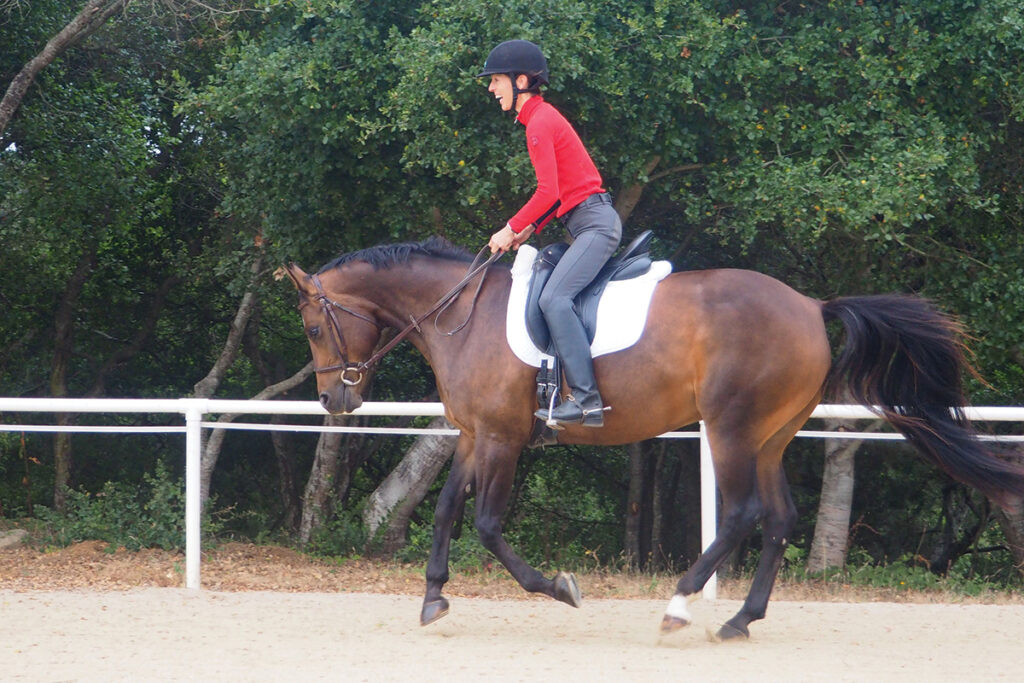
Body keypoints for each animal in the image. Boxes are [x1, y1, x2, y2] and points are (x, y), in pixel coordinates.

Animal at [284, 236, 1024, 640]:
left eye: (315, 327)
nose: (335, 399)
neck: (461, 312)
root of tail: (813, 307)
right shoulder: (473, 435)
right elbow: (442, 511)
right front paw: (433, 597)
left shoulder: (499, 439)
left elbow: (488, 526)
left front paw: (559, 587)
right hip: (771, 437)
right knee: (780, 517)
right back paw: (740, 620)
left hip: (729, 428)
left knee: (746, 513)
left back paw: (679, 604)